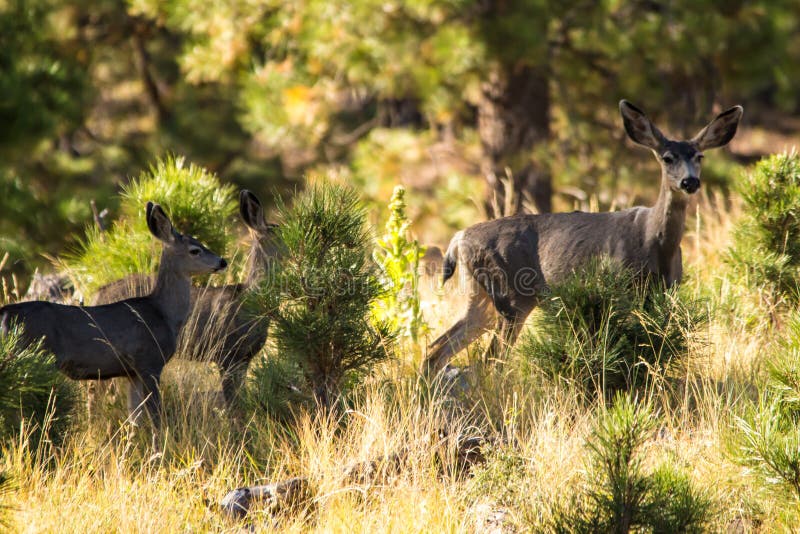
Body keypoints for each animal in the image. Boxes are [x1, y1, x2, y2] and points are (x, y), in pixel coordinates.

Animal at [0, 202, 227, 424]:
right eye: (195, 250)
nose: (222, 262)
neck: (163, 314)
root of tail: (4, 314)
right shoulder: (150, 361)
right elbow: (156, 418)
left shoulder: (131, 372)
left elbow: (135, 419)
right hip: (35, 354)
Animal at [89, 190, 280, 406]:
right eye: (283, 232)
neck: (249, 300)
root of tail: (96, 294)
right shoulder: (226, 353)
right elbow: (233, 405)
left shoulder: (244, 358)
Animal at [422, 100, 743, 375]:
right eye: (667, 158)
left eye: (699, 156)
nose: (690, 182)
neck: (655, 242)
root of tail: (459, 237)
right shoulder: (619, 287)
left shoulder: (666, 293)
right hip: (511, 294)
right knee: (490, 361)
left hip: (481, 295)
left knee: (437, 349)